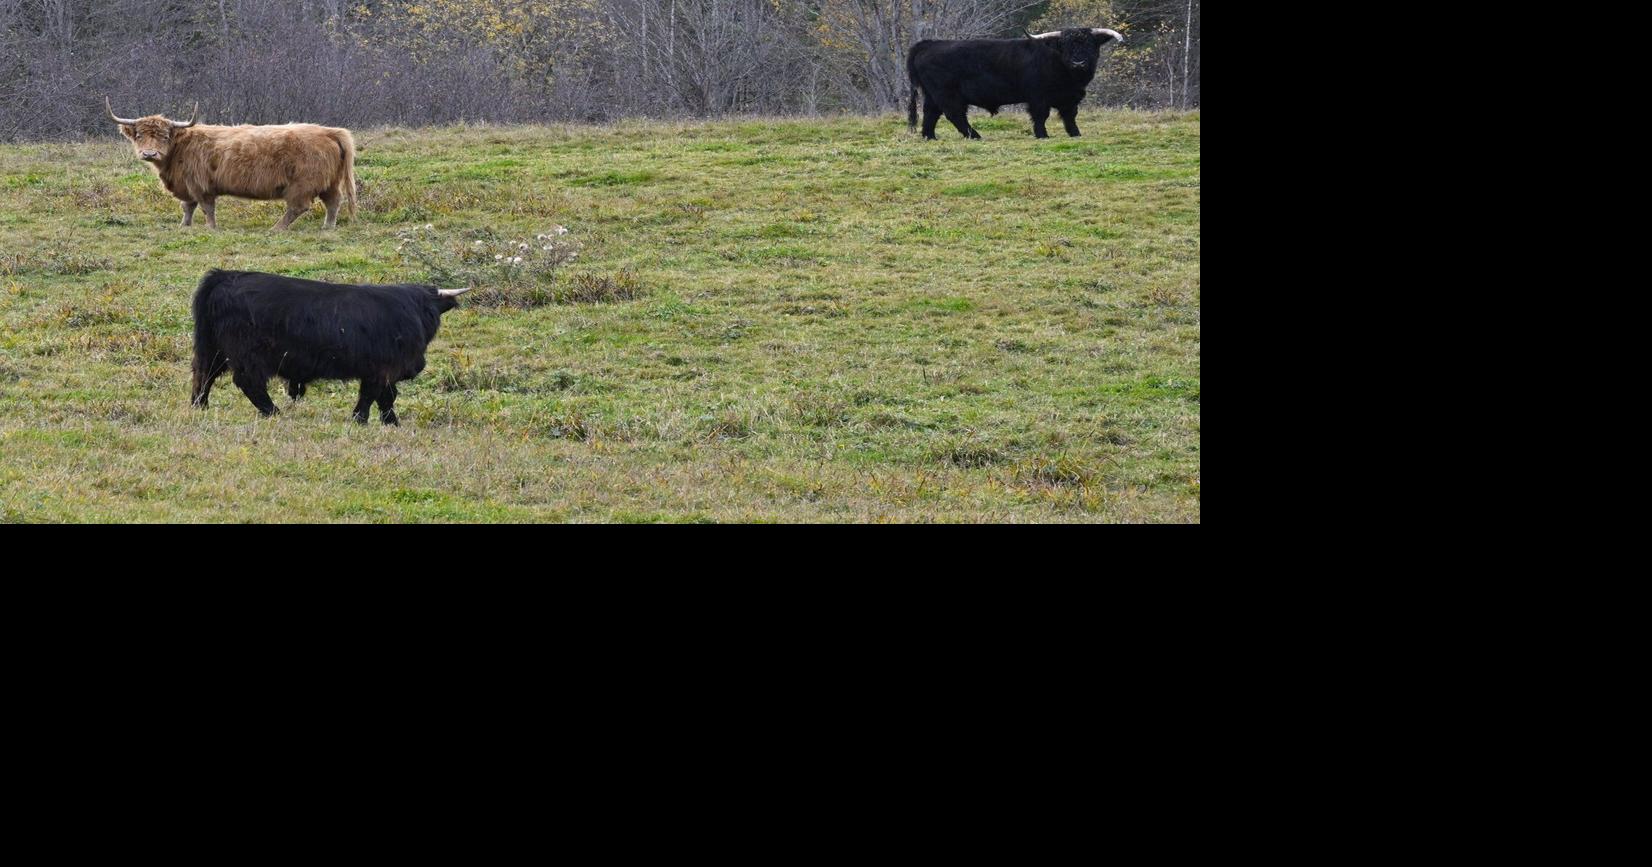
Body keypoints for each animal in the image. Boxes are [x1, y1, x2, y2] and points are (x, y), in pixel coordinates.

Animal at [105, 99, 357, 230]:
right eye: (139, 135)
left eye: (165, 136)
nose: (149, 153)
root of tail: (329, 131)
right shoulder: (187, 185)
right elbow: (188, 206)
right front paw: (184, 226)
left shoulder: (200, 184)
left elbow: (206, 207)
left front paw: (211, 228)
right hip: (329, 181)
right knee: (334, 201)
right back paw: (327, 227)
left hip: (303, 184)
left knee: (298, 206)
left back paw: (277, 228)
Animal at [190, 270, 468, 425]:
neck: (412, 310)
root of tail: (226, 276)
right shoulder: (383, 369)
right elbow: (376, 396)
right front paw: (363, 420)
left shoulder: (380, 371)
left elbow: (382, 397)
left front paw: (387, 422)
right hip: (248, 355)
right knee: (249, 383)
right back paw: (273, 412)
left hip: (212, 349)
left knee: (203, 375)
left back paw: (199, 406)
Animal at [907, 28, 1124, 140]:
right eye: (1064, 45)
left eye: (1090, 44)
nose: (1078, 62)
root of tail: (929, 43)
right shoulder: (1038, 97)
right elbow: (1041, 116)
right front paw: (1042, 135)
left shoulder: (1070, 98)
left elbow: (1069, 116)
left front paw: (1075, 134)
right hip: (947, 94)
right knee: (955, 115)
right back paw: (975, 136)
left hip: (932, 95)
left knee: (931, 113)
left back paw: (930, 137)